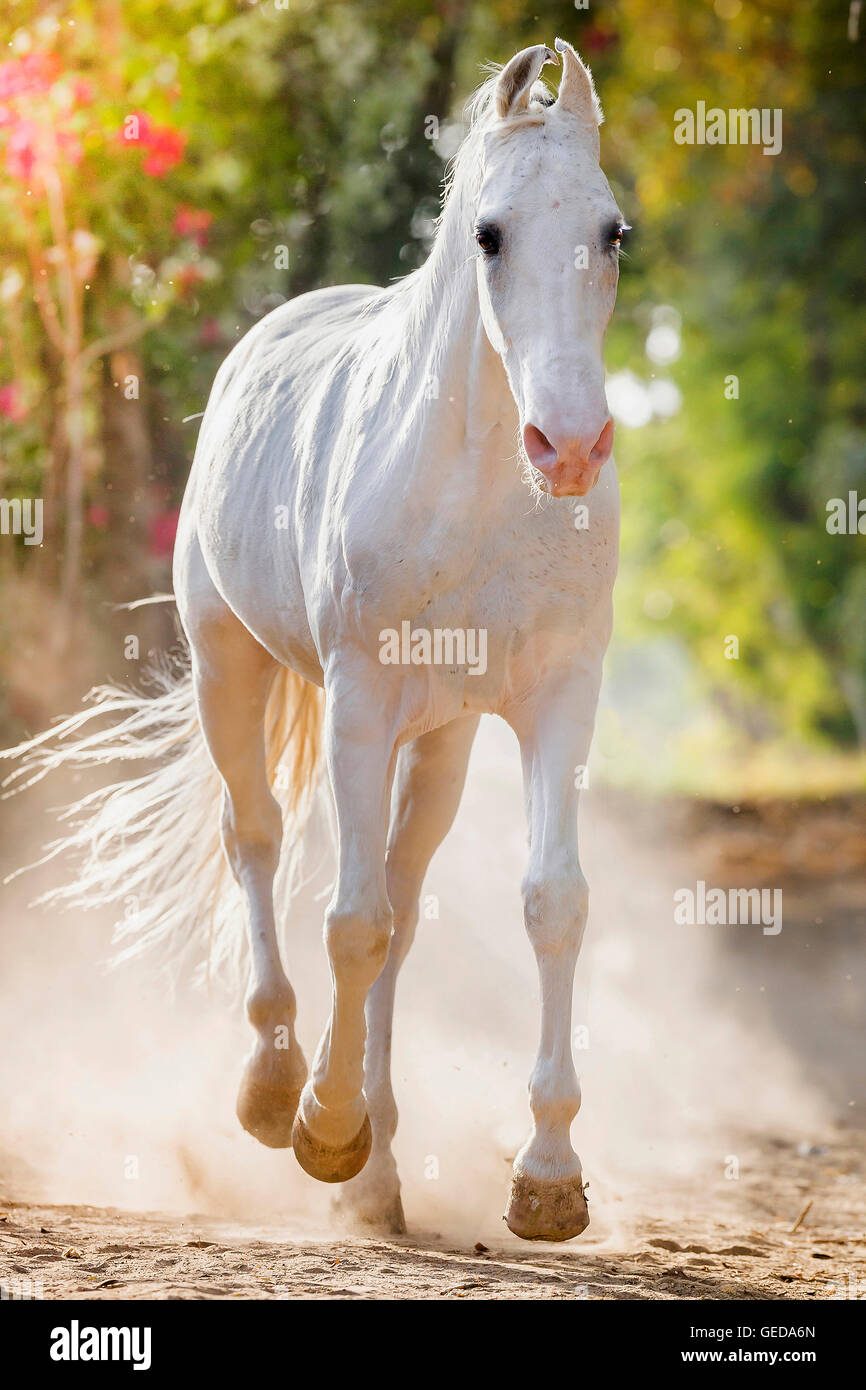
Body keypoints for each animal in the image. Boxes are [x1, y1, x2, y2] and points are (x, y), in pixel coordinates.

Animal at [3, 38, 626, 1242]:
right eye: (489, 234)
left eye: (612, 232)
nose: (568, 447)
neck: (477, 493)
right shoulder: (359, 700)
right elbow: (348, 921)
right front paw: (323, 1127)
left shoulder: (555, 701)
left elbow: (551, 904)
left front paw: (547, 1173)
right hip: (229, 669)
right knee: (258, 839)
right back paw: (274, 1092)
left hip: (442, 739)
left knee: (403, 899)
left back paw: (380, 1179)